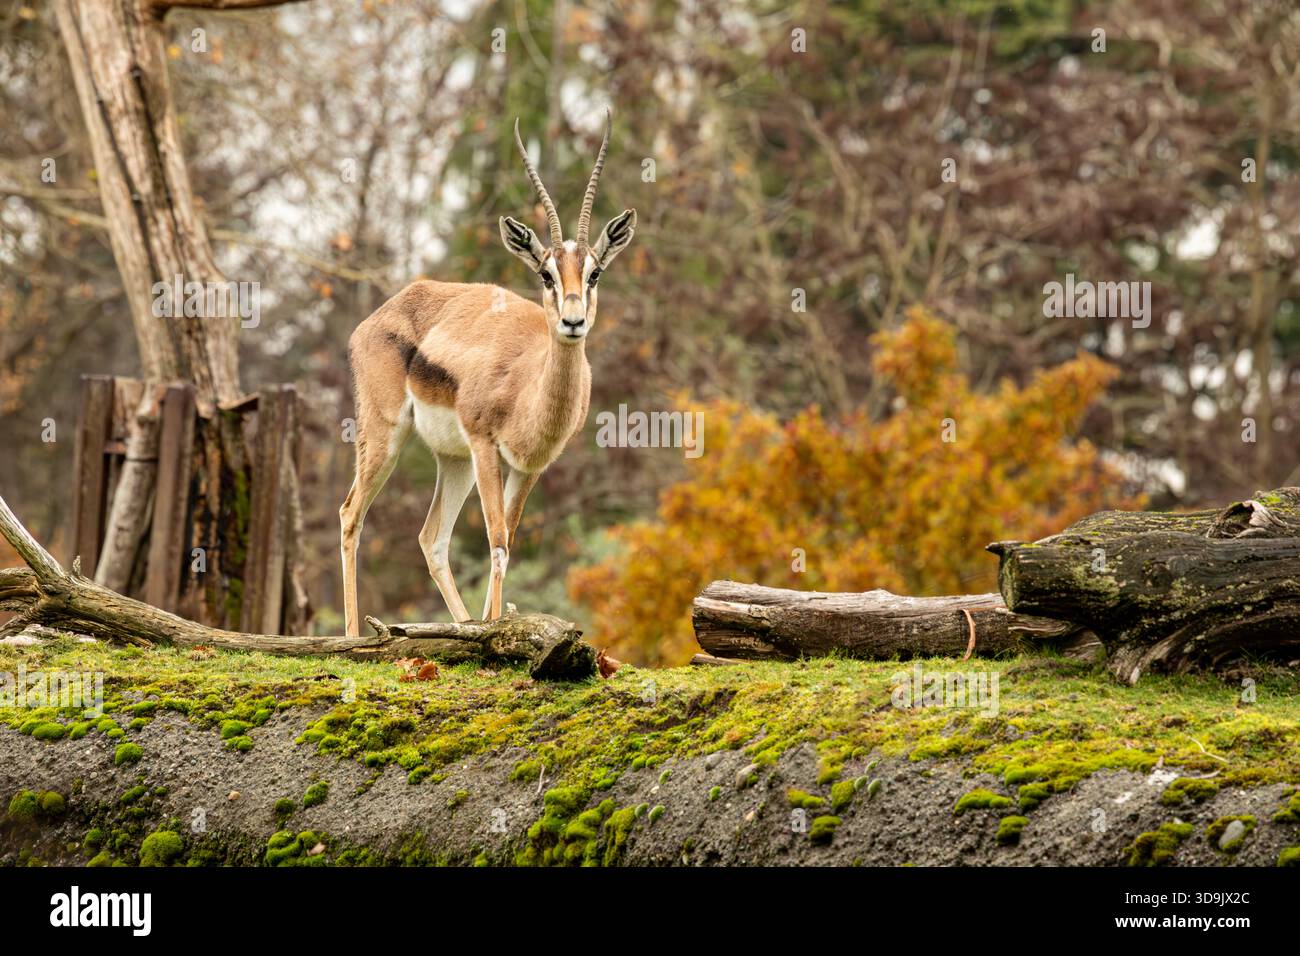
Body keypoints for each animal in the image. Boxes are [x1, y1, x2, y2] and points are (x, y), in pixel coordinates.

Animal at [339, 113, 636, 637]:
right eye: (545, 274)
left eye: (595, 272)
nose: (573, 321)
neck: (527, 385)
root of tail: (386, 310)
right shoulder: (485, 446)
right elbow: (497, 541)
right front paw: (500, 632)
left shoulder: (530, 465)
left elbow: (508, 542)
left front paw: (498, 627)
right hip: (388, 436)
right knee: (351, 515)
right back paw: (355, 636)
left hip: (453, 461)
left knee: (432, 538)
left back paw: (463, 627)